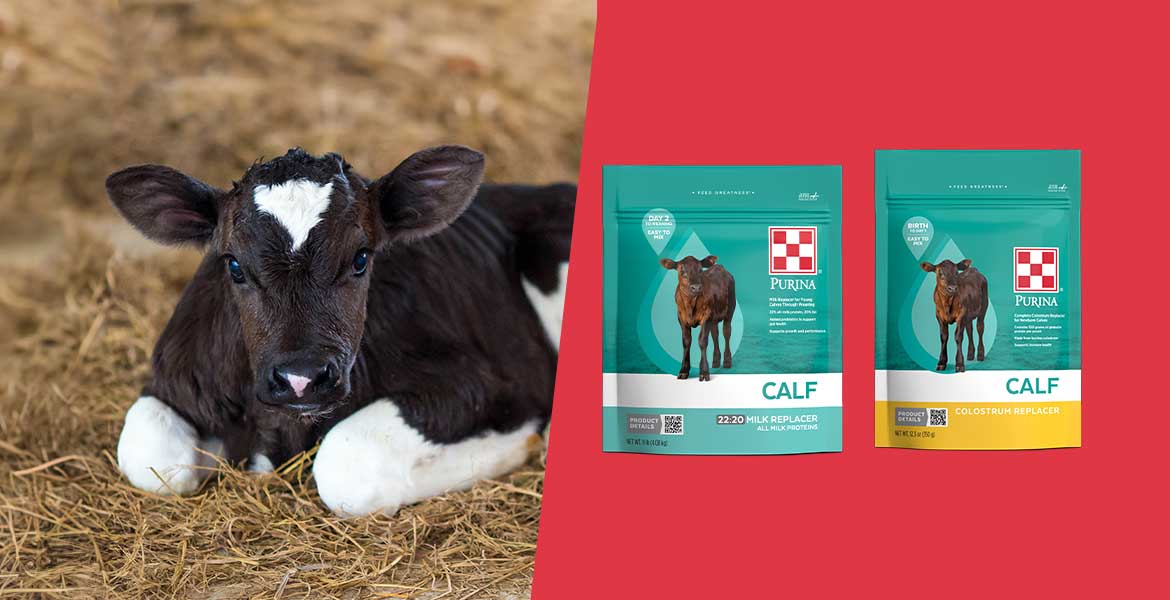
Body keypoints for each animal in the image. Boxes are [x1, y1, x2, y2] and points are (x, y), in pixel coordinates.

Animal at [106, 146, 574, 517]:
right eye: (234, 265)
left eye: (361, 258)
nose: (301, 378)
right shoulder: (178, 376)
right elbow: (150, 456)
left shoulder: (484, 383)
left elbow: (345, 461)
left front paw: (520, 442)